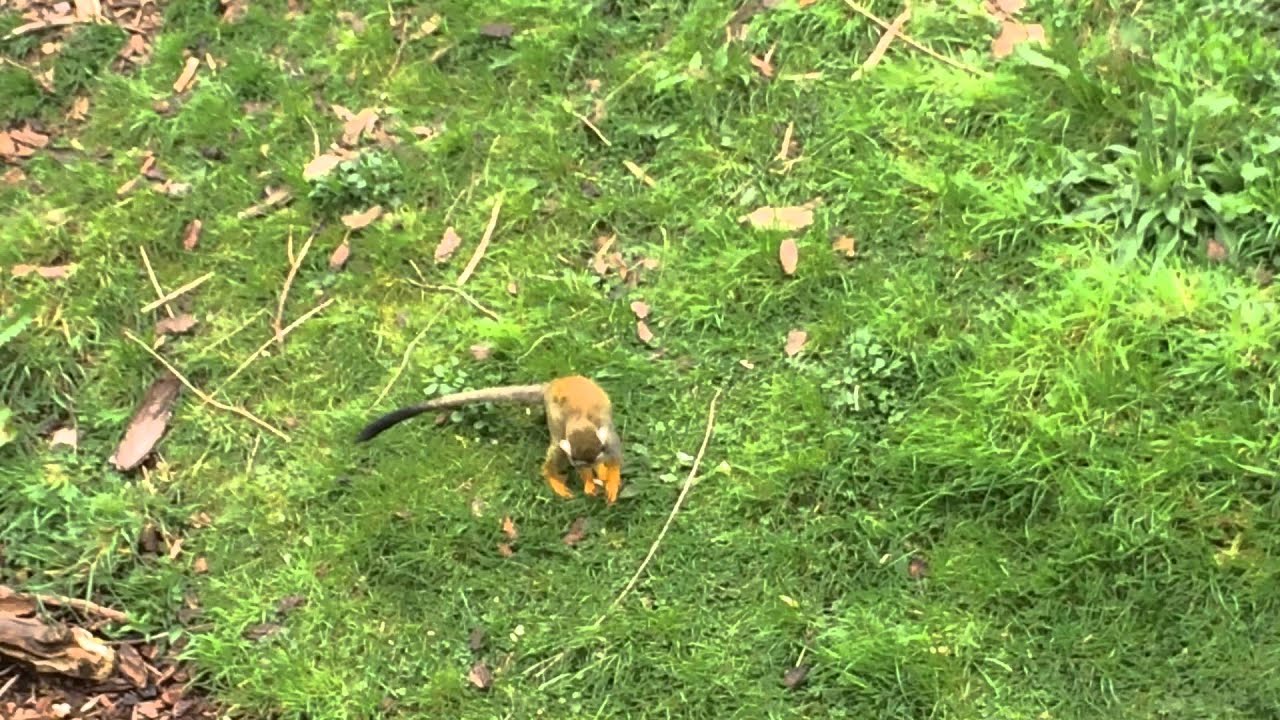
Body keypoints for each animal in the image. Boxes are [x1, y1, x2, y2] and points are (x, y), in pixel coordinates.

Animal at [356, 375, 624, 503]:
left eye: (595, 455)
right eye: (582, 463)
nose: (591, 465)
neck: (582, 421)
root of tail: (553, 385)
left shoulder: (608, 438)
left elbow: (615, 457)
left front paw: (610, 480)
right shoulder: (571, 443)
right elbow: (564, 453)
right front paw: (587, 479)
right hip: (553, 414)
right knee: (555, 446)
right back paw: (552, 475)